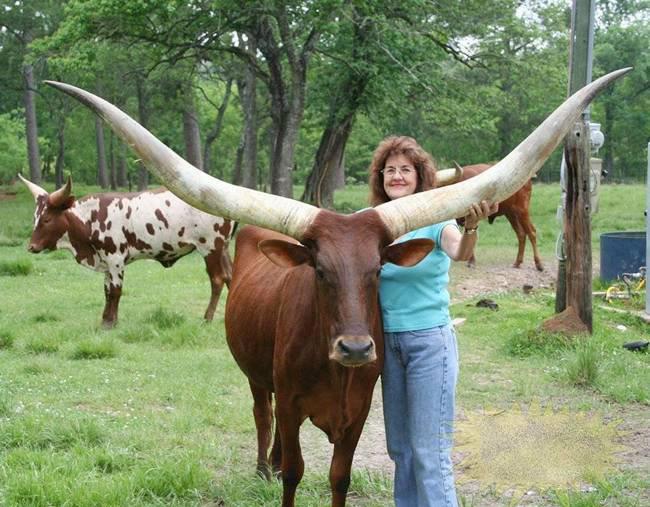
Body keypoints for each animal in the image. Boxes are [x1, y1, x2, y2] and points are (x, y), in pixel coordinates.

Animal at [18, 175, 234, 328]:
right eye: (35, 218)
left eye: (47, 219)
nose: (31, 247)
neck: (91, 218)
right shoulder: (106, 261)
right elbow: (107, 291)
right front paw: (106, 320)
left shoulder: (115, 259)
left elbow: (115, 291)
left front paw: (110, 323)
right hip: (223, 249)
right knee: (231, 276)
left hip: (210, 247)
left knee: (217, 279)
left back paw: (207, 318)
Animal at [47, 68, 628, 506]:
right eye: (320, 271)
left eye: (377, 270)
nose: (354, 348)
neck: (332, 370)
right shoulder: (293, 401)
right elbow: (295, 472)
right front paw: (278, 470)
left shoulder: (358, 413)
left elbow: (338, 476)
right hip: (255, 374)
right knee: (262, 416)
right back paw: (262, 463)